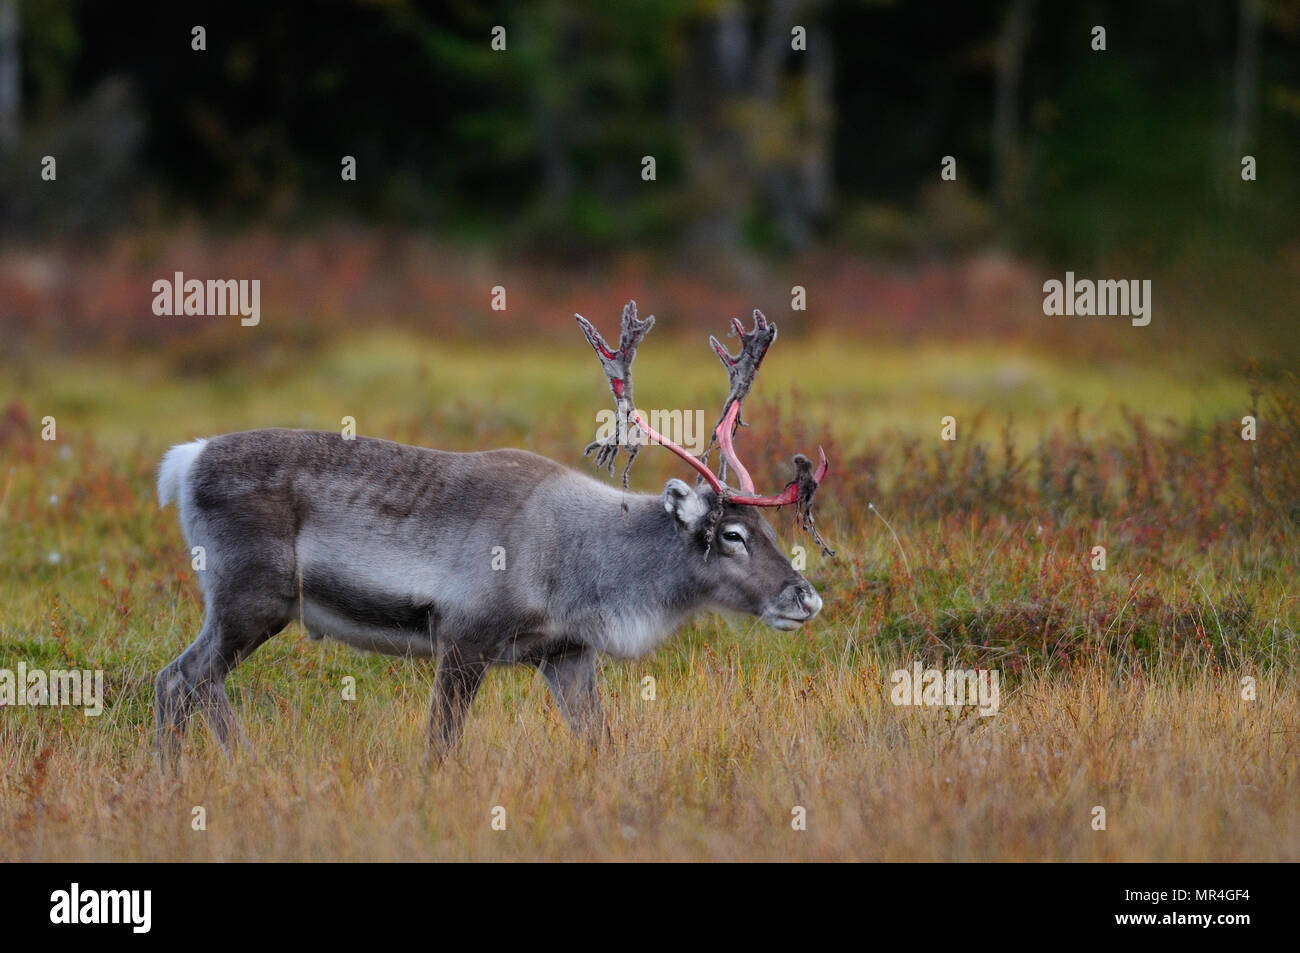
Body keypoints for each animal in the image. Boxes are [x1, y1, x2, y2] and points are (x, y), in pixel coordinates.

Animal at [153, 301, 832, 771]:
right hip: (250, 600)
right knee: (185, 680)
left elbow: (602, 743)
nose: (806, 598)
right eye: (733, 534)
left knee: (185, 684)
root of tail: (185, 462)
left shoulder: (566, 654)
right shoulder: (463, 638)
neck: (587, 560)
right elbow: (440, 746)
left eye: (770, 527)